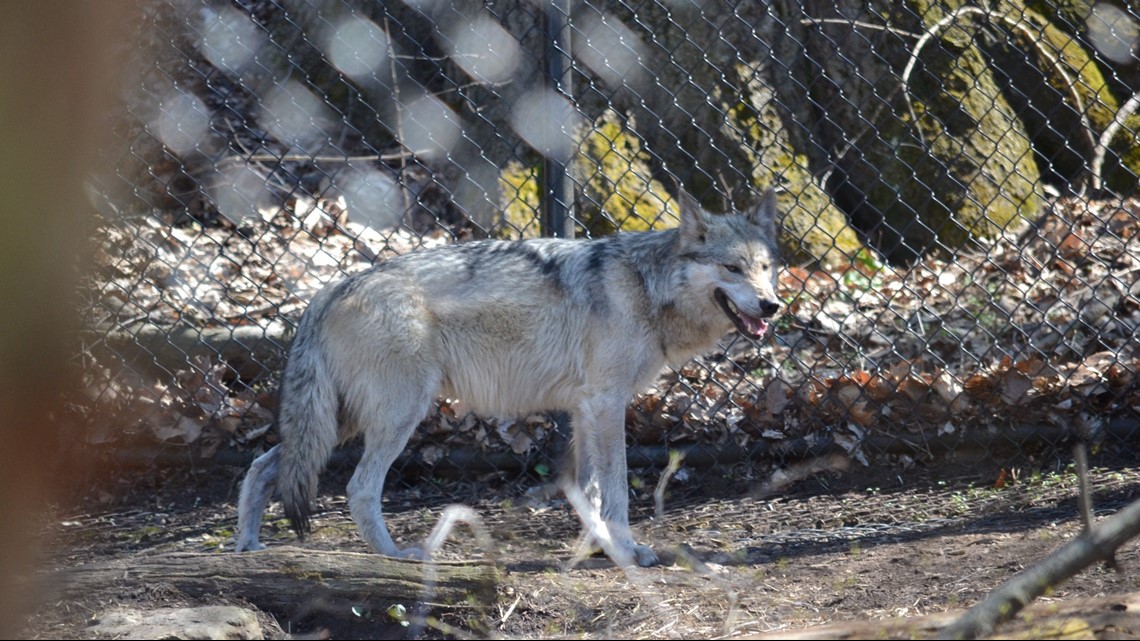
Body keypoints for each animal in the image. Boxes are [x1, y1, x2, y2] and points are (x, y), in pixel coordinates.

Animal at [233, 188, 782, 566]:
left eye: (765, 267)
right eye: (732, 268)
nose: (772, 305)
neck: (646, 287)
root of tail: (332, 287)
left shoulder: (585, 409)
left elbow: (591, 491)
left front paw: (599, 549)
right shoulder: (606, 404)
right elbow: (617, 490)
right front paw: (628, 552)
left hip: (338, 422)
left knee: (262, 465)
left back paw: (247, 545)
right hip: (396, 417)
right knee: (359, 488)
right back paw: (395, 556)